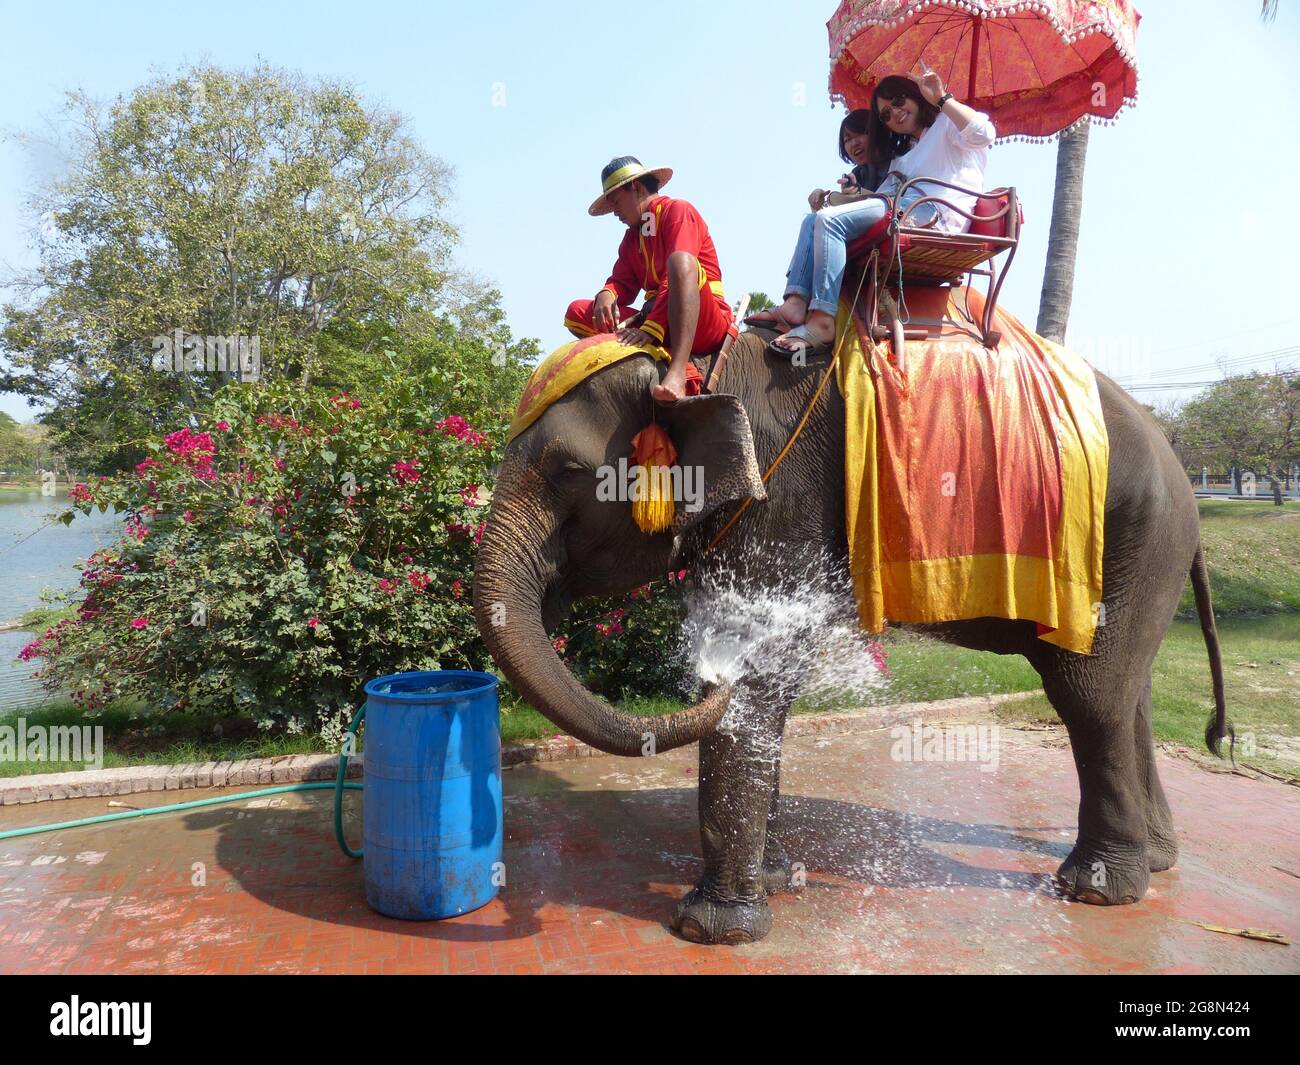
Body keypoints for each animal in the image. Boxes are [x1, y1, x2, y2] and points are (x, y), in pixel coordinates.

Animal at [472, 329, 1229, 946]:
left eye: (569, 471)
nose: (707, 675)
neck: (700, 369)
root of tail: (1183, 477)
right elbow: (770, 696)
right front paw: (775, 877)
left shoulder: (782, 500)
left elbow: (761, 684)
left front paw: (709, 929)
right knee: (1130, 693)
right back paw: (1155, 859)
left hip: (1126, 538)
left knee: (1088, 696)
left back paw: (1096, 889)